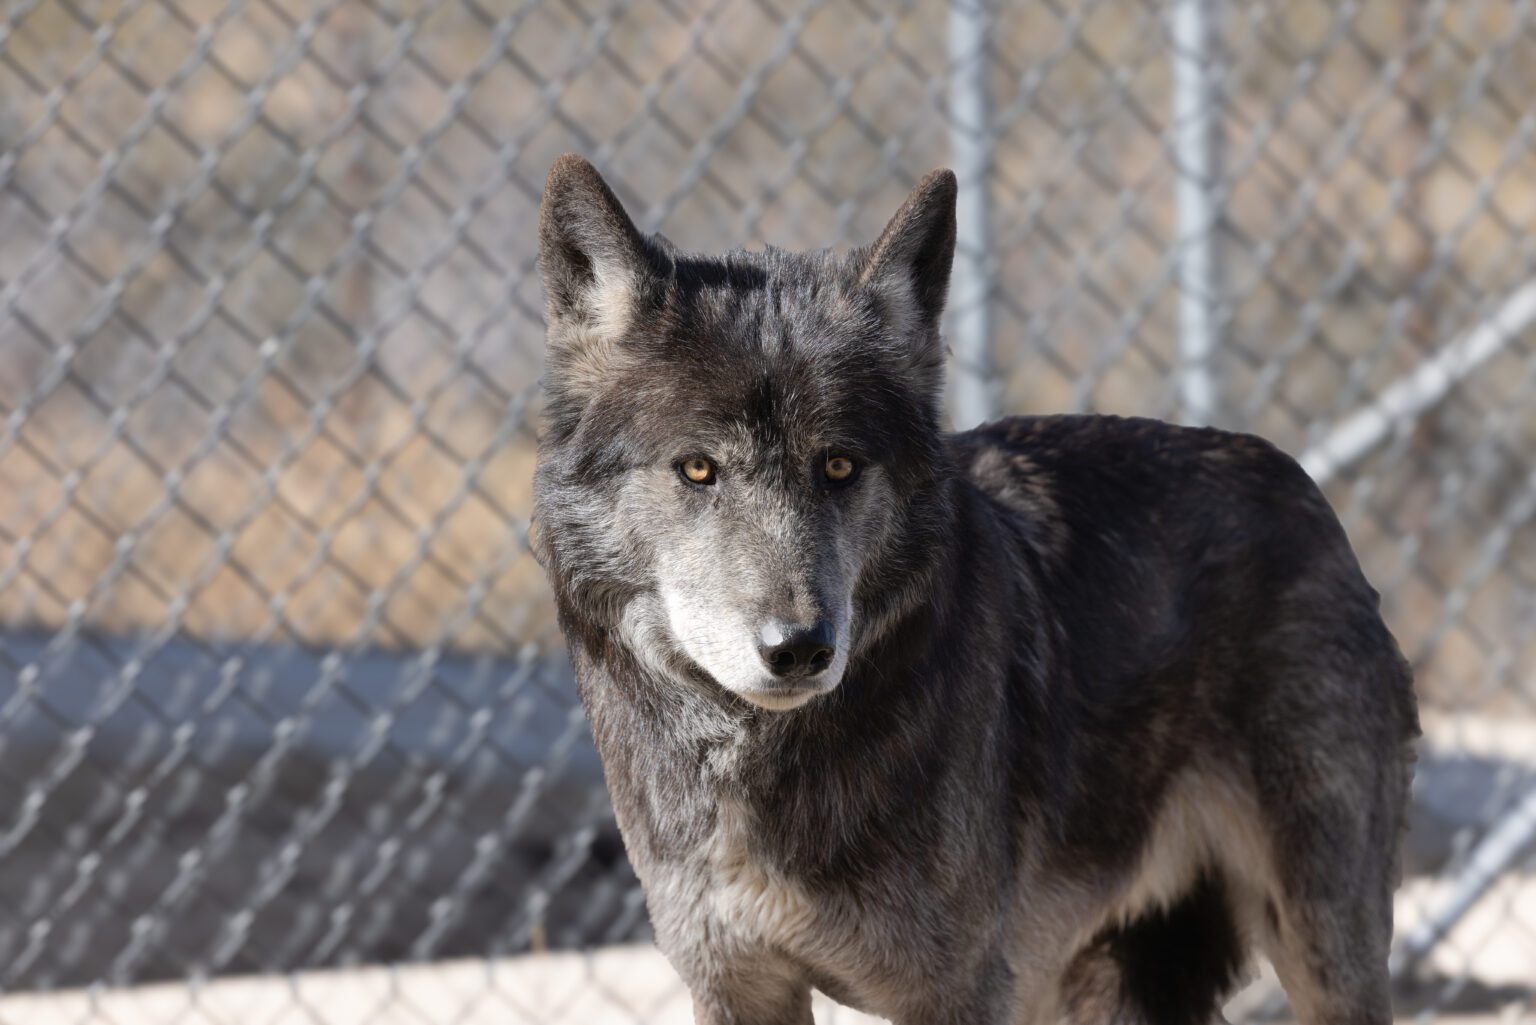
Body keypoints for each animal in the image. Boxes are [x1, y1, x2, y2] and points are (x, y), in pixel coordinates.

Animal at [531, 153, 1420, 1025]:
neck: (755, 760)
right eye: (696, 468)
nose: (800, 649)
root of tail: (1303, 489)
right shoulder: (735, 984)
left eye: (840, 465)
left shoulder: (960, 987)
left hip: (1319, 945)